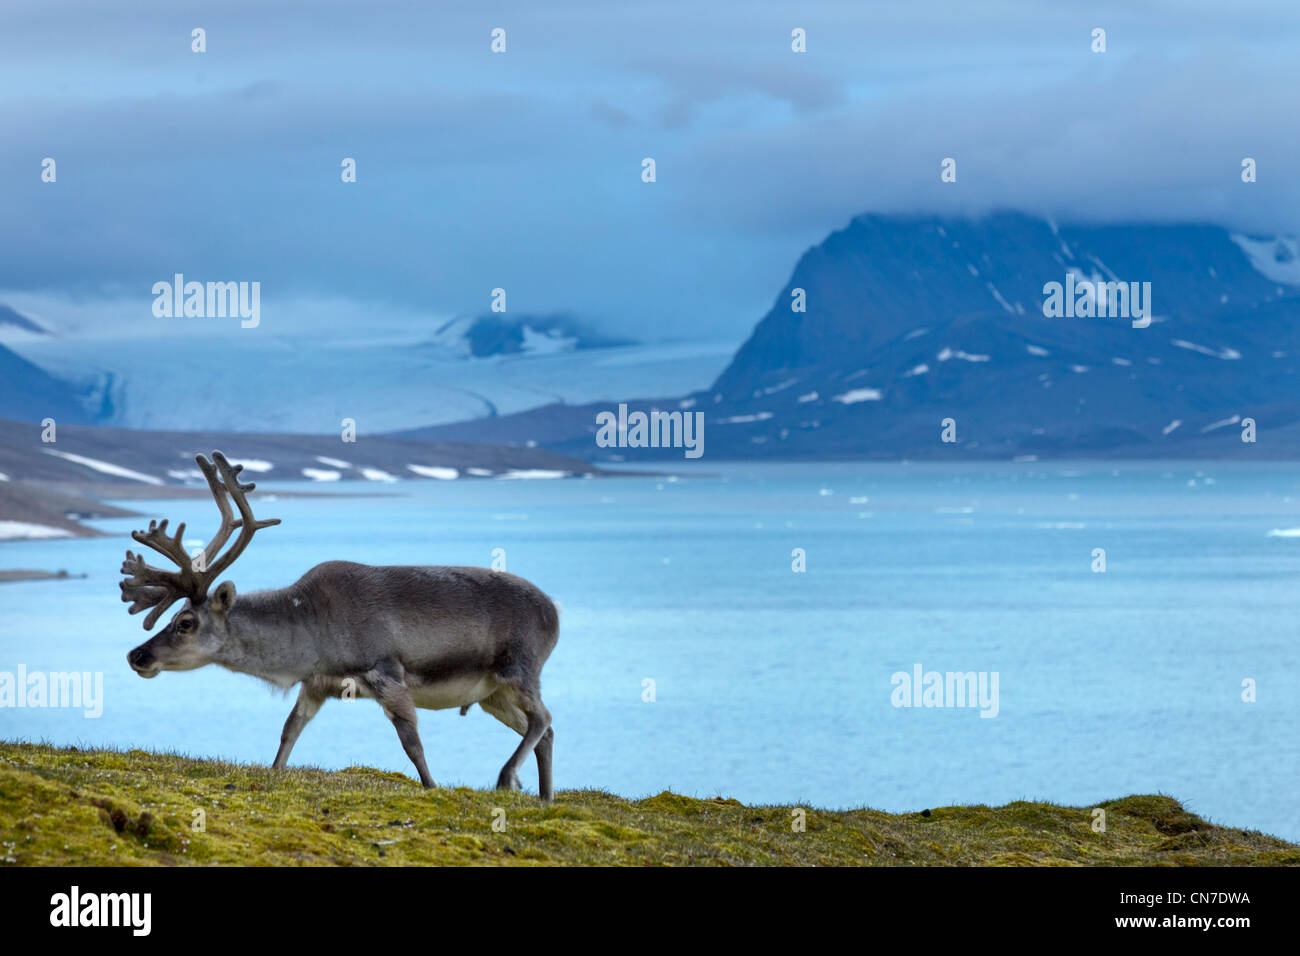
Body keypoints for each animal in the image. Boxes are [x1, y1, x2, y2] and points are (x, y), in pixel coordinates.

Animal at [121, 451, 559, 800]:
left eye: (185, 622)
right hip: (491, 694)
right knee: (544, 729)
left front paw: (432, 787)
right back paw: (544, 798)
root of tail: (555, 613)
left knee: (543, 718)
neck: (310, 637)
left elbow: (412, 742)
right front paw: (275, 772)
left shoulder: (386, 672)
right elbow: (289, 731)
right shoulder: (316, 684)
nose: (136, 655)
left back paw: (506, 779)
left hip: (518, 668)